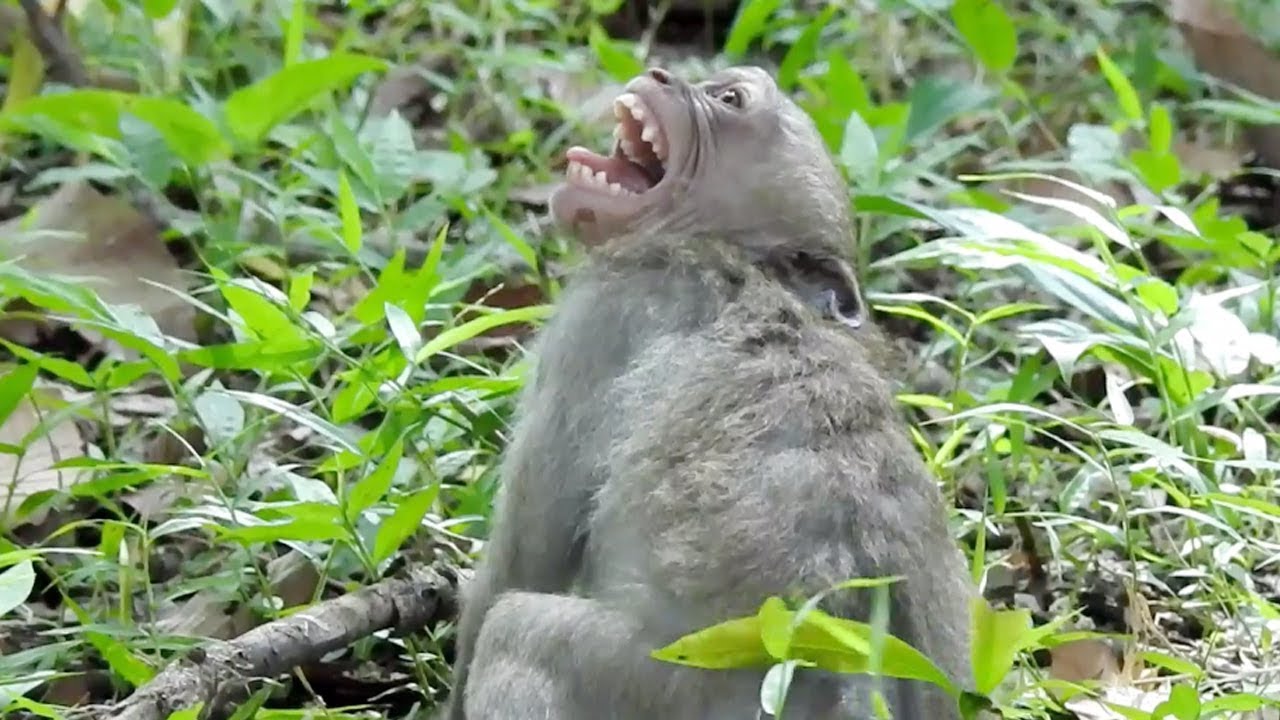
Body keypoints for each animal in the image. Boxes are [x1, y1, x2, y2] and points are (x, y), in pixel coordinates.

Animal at [445, 65, 975, 719]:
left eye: (729, 99)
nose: (662, 74)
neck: (732, 253)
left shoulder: (605, 312)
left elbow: (527, 555)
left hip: (657, 686)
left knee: (516, 632)